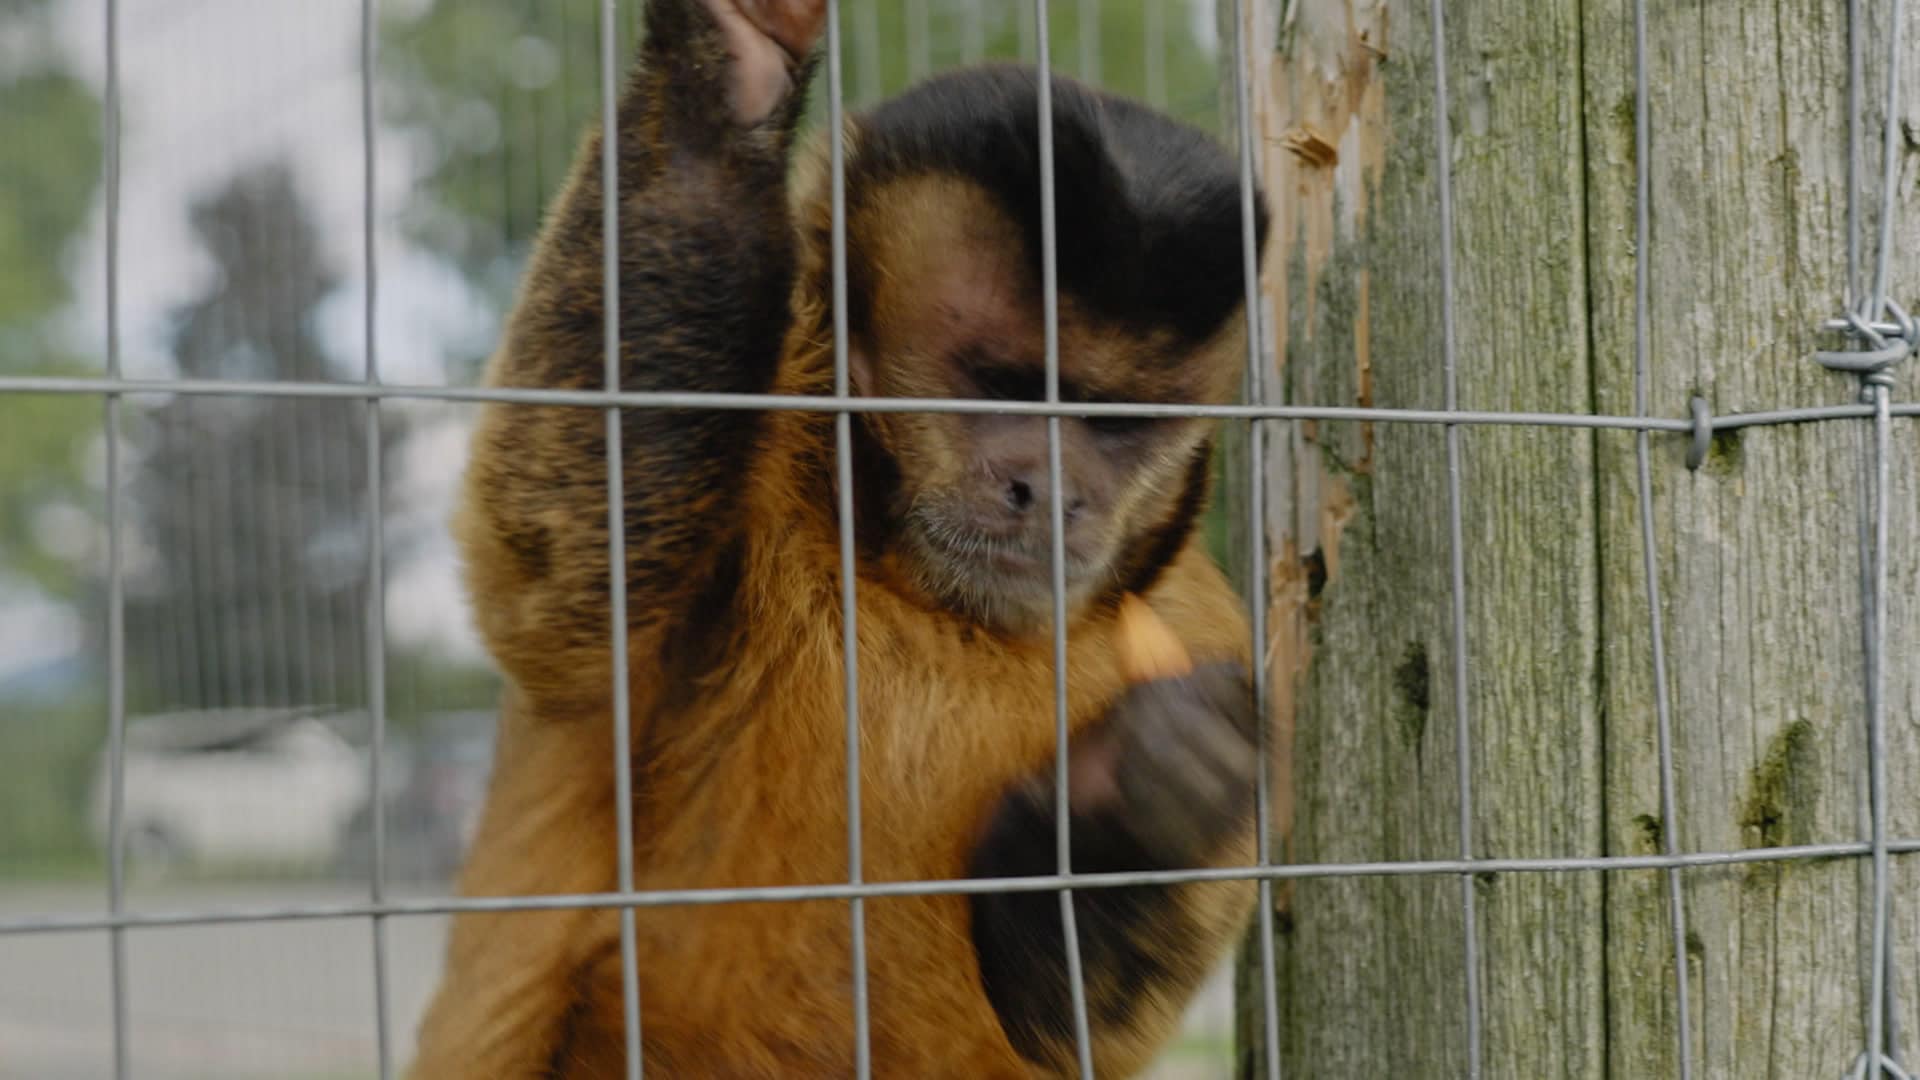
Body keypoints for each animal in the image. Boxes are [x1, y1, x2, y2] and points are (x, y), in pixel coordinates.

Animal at [407, 0, 1271, 1076]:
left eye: (1113, 422)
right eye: (1002, 382)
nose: (1054, 492)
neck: (922, 589)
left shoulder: (1207, 628)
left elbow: (1063, 1025)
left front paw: (1150, 795)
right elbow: (553, 599)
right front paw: (732, 77)